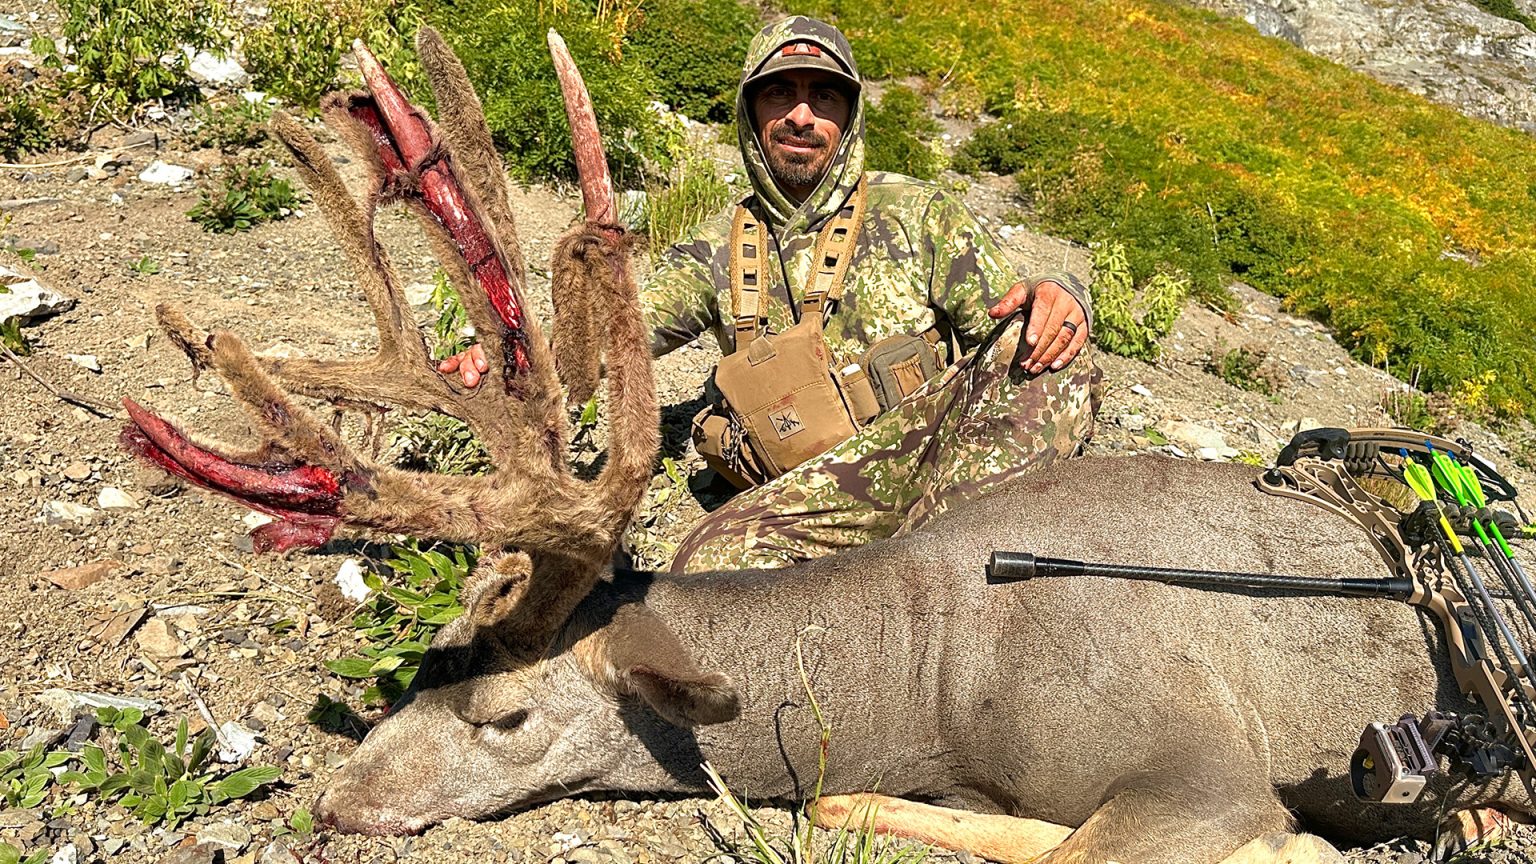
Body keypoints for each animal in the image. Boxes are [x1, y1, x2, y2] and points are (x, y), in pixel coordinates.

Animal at [119, 28, 1535, 864]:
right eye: (424, 669)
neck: (941, 677)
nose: (335, 801)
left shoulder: (1203, 761)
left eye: (507, 714)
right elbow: (852, 798)